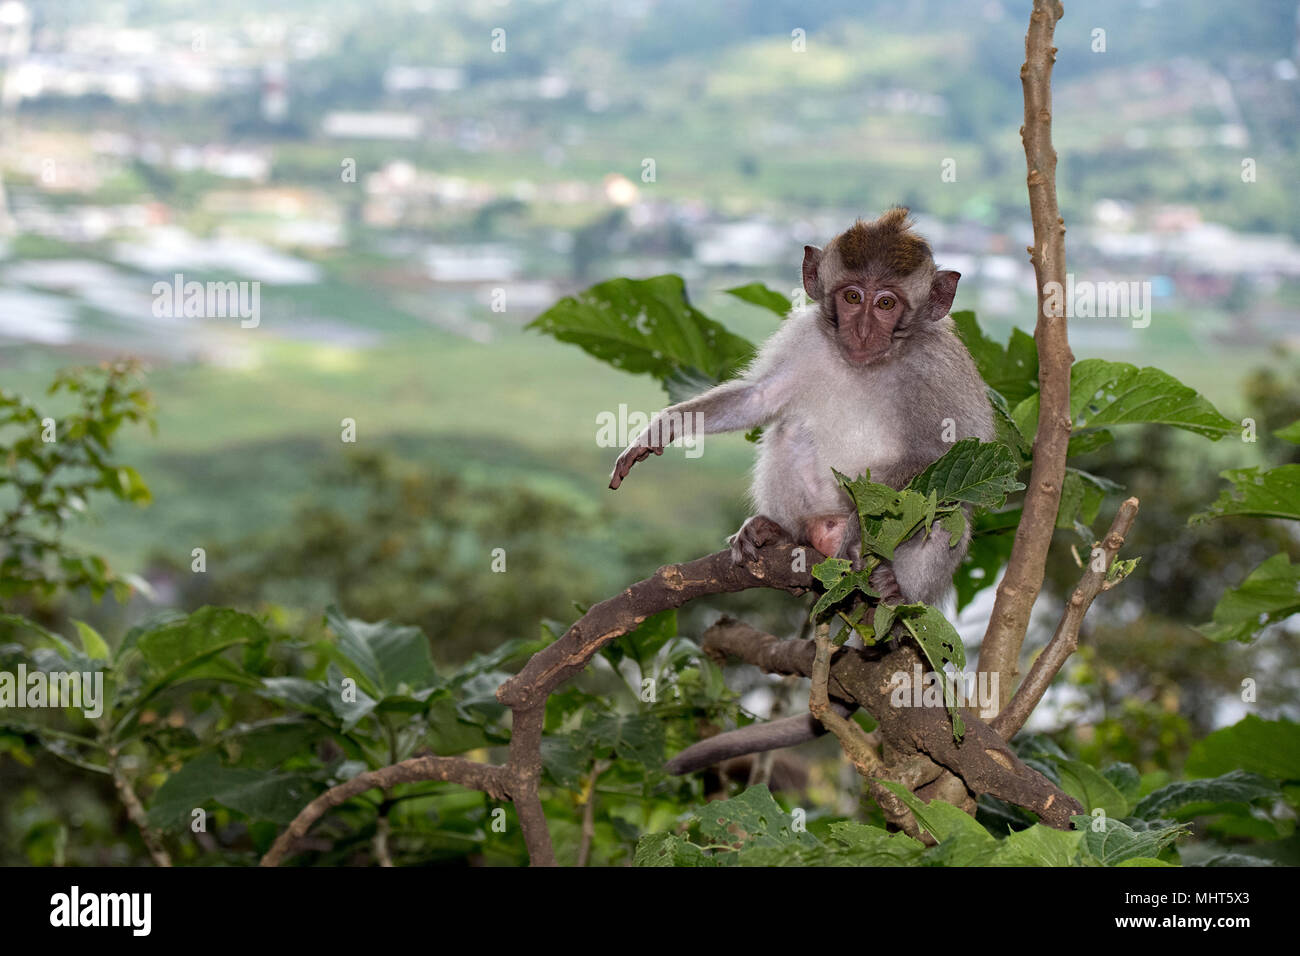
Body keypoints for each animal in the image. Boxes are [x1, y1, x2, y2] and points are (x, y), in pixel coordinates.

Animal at [607, 207, 995, 775]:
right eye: (852, 296)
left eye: (886, 303)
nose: (862, 328)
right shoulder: (806, 334)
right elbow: (762, 398)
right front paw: (664, 427)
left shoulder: (938, 368)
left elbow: (945, 459)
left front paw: (862, 534)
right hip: (813, 513)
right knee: (787, 428)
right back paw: (777, 532)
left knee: (945, 515)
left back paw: (892, 596)